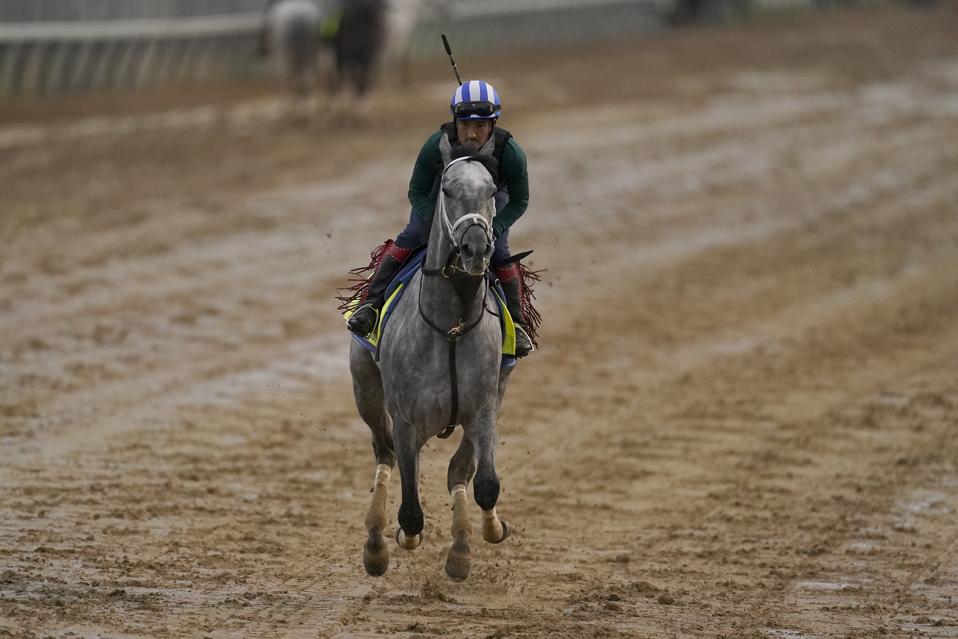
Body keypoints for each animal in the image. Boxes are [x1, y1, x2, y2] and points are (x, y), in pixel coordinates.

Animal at [349, 151, 513, 582]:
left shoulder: (484, 406)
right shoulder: (406, 418)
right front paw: (402, 538)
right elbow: (410, 510)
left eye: (492, 189)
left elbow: (482, 482)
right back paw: (376, 544)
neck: (451, 327)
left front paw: (479, 538)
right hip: (366, 391)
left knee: (456, 471)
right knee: (384, 453)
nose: (476, 248)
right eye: (448, 190)